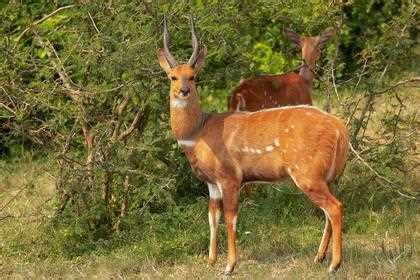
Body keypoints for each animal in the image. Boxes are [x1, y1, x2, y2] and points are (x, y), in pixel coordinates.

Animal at [158, 18, 348, 276]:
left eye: (193, 76)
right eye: (172, 77)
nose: (184, 91)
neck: (198, 133)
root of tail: (340, 129)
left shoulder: (229, 177)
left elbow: (231, 219)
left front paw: (229, 266)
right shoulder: (211, 183)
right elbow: (212, 217)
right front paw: (211, 260)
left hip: (307, 174)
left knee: (335, 207)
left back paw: (333, 264)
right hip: (326, 176)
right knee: (330, 209)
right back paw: (319, 257)